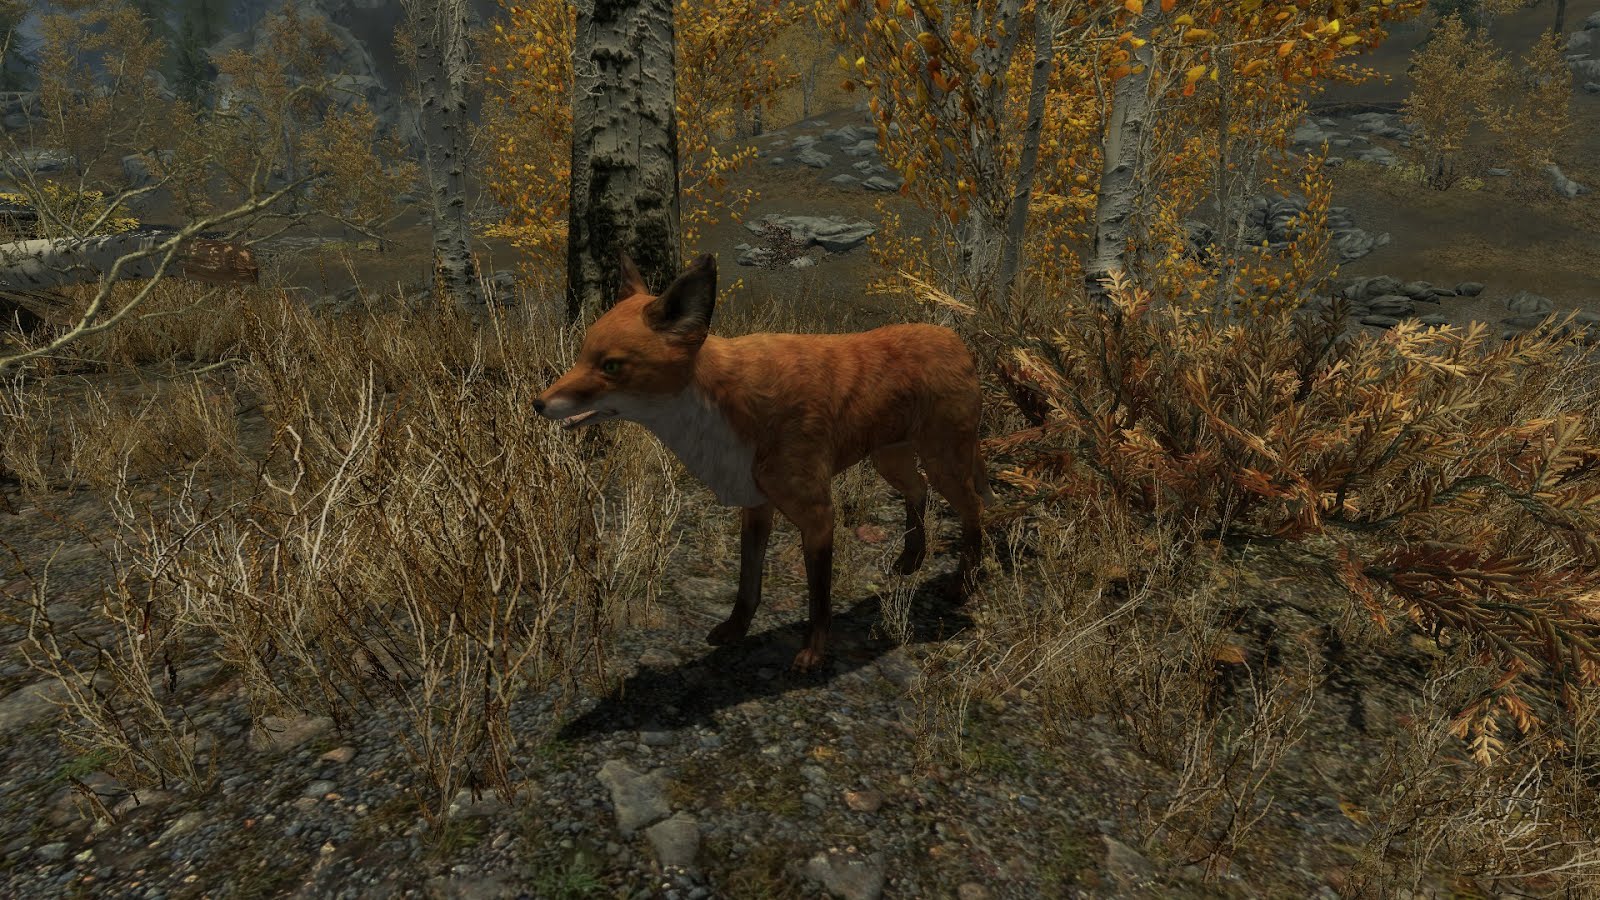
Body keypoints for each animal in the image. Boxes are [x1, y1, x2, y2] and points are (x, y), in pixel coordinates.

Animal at [534, 251, 992, 673]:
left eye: (611, 366)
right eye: (581, 356)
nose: (538, 404)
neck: (727, 407)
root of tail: (955, 339)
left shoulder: (818, 515)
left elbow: (819, 600)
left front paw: (813, 654)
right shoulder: (755, 504)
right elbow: (747, 584)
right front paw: (735, 630)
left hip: (943, 464)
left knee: (974, 508)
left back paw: (963, 584)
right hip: (891, 461)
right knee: (918, 491)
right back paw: (910, 561)